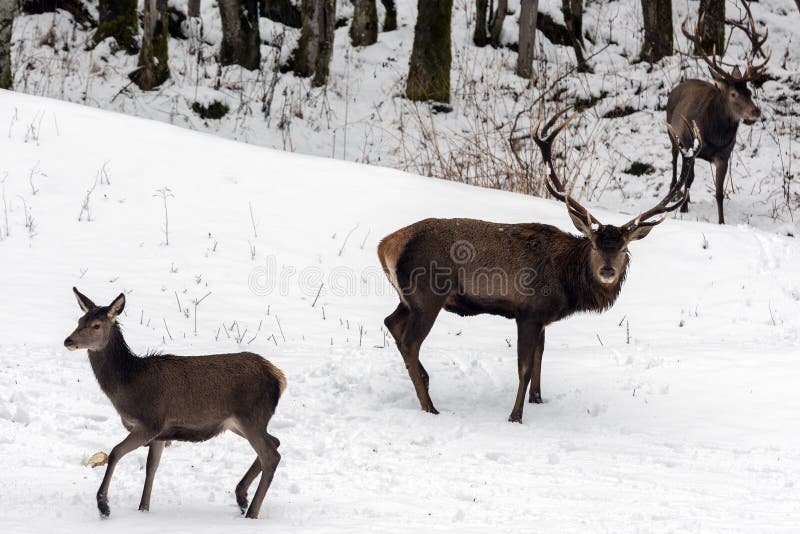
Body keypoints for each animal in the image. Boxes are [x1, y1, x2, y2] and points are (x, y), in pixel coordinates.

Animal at [63, 288, 285, 519]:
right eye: (79, 320)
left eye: (96, 325)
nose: (68, 341)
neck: (127, 384)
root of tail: (279, 378)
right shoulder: (160, 434)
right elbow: (151, 467)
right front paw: (143, 509)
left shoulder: (150, 422)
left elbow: (115, 452)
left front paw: (103, 506)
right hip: (239, 423)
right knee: (276, 441)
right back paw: (241, 497)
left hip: (251, 417)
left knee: (271, 455)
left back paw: (252, 512)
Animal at [377, 110, 700, 423]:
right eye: (594, 244)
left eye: (623, 247)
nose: (607, 271)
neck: (566, 283)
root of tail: (385, 245)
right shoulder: (528, 312)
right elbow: (524, 367)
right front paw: (516, 416)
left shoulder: (543, 317)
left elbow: (540, 358)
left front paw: (538, 399)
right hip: (427, 294)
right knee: (410, 341)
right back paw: (430, 406)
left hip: (408, 298)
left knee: (391, 322)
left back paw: (425, 380)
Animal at [667, 0, 769, 224]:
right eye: (733, 93)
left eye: (749, 91)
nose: (756, 111)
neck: (714, 135)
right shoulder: (690, 145)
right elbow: (689, 180)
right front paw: (684, 209)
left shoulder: (724, 155)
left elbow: (719, 192)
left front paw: (722, 222)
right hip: (672, 133)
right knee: (675, 164)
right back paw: (674, 194)